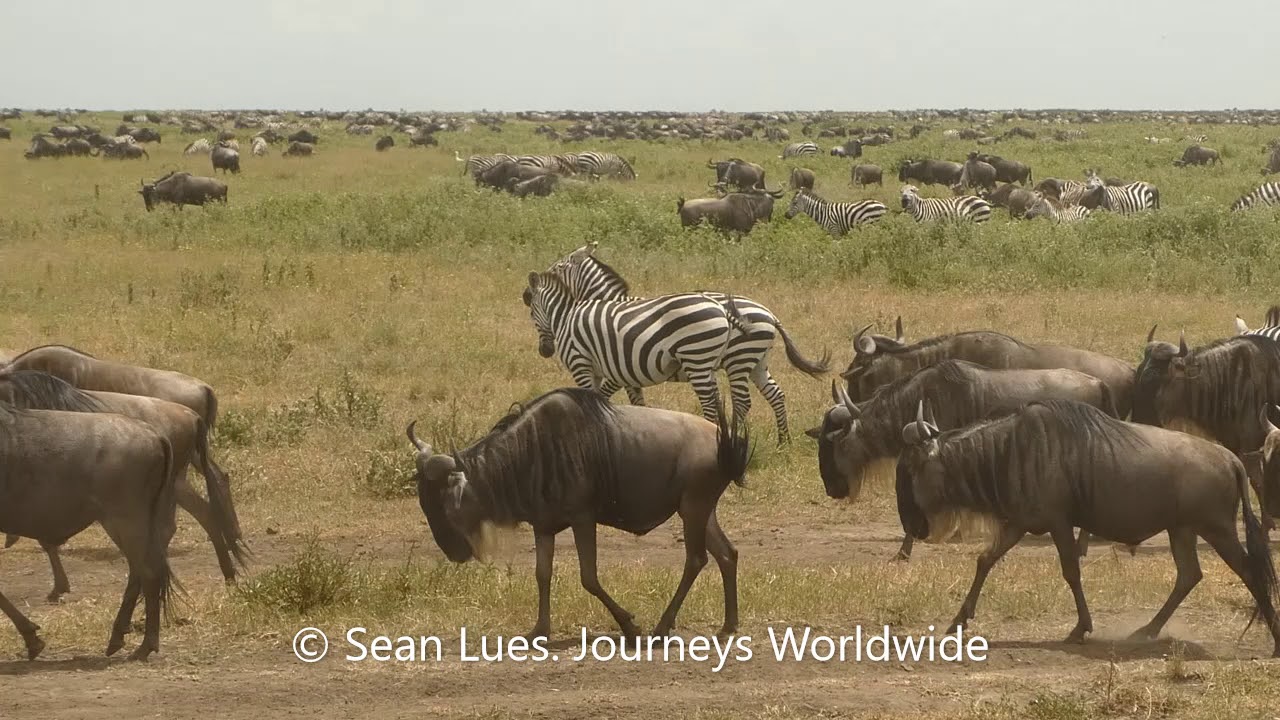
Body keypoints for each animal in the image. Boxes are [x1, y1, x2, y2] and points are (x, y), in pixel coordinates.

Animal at [529, 242, 831, 443]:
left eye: (558, 267)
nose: (545, 350)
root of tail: (770, 314)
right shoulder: (625, 369)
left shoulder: (615, 367)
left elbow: (605, 395)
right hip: (756, 360)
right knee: (775, 395)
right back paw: (782, 442)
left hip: (734, 360)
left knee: (741, 401)